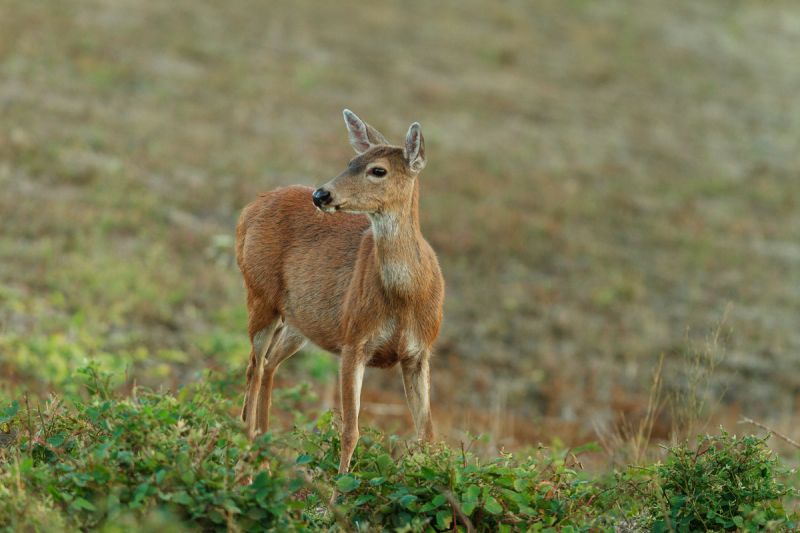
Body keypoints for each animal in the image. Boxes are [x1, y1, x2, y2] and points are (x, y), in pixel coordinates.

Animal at [235, 109, 444, 476]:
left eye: (378, 170)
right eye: (350, 161)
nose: (321, 195)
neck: (405, 297)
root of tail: (248, 211)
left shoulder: (420, 352)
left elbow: (427, 433)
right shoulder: (354, 339)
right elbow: (350, 430)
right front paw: (340, 487)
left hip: (299, 322)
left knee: (270, 364)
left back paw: (264, 444)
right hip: (259, 294)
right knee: (254, 367)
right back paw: (248, 451)